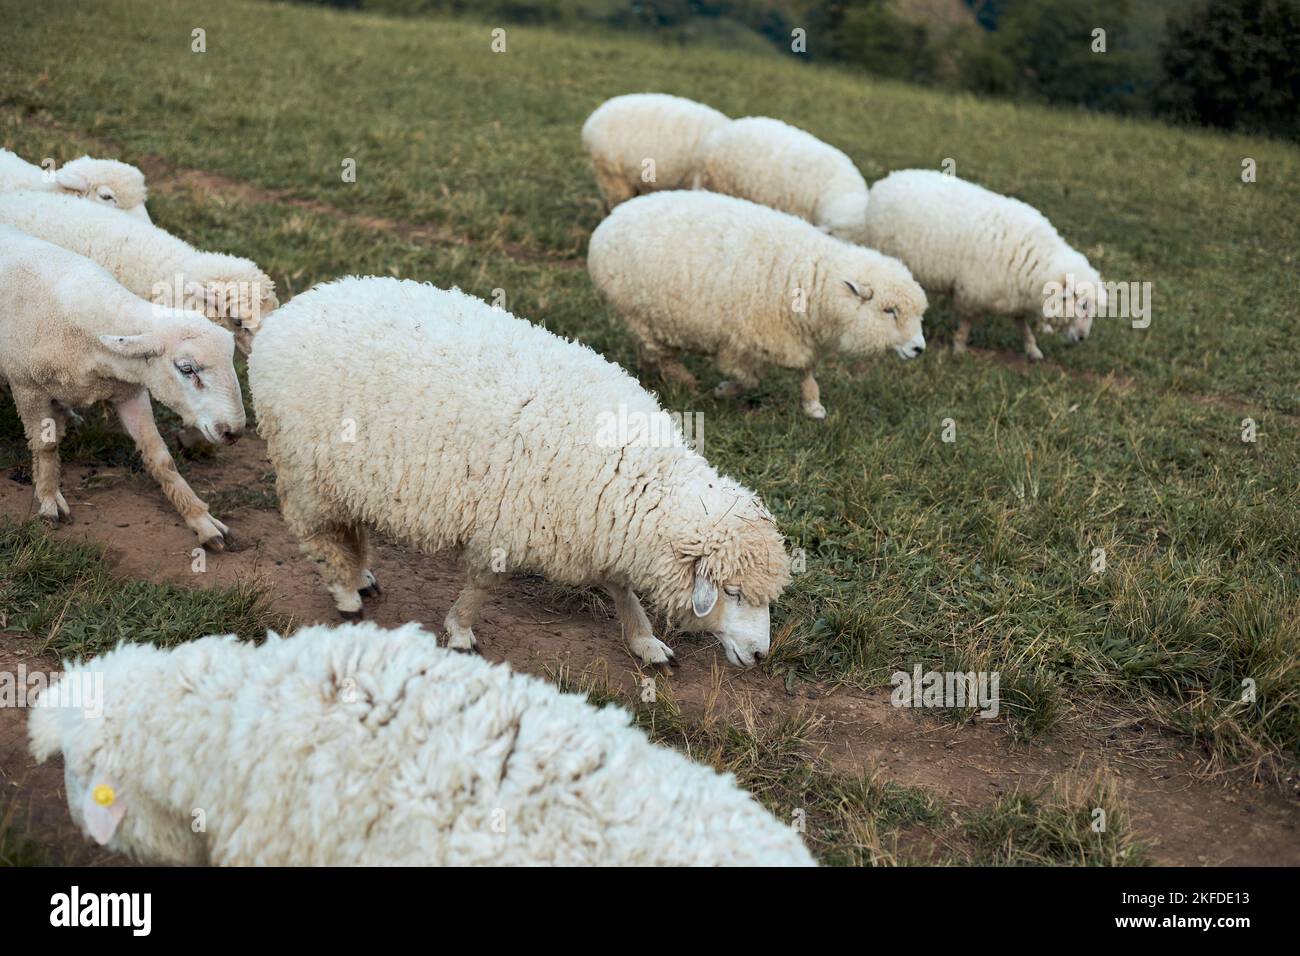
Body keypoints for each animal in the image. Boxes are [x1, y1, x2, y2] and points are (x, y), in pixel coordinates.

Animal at [0, 225, 243, 550]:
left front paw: (200, 518)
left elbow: (162, 459)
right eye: (187, 369)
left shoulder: (131, 392)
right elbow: (46, 445)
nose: (233, 432)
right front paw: (49, 498)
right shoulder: (26, 386)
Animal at [249, 277, 791, 668]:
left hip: (345, 476)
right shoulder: (509, 526)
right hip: (305, 472)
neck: (635, 475)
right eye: (733, 593)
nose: (761, 655)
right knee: (317, 534)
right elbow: (483, 586)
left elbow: (622, 587)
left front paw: (645, 642)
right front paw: (460, 631)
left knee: (351, 526)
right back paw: (345, 593)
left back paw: (360, 575)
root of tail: (290, 311)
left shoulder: (600, 527)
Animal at [587, 191, 928, 419]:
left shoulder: (799, 340)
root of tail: (610, 221)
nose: (919, 349)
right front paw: (724, 390)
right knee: (663, 354)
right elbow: (749, 378)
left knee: (650, 349)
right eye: (889, 310)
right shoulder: (741, 343)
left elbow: (806, 371)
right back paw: (686, 381)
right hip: (638, 313)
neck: (814, 279)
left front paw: (813, 405)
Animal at [861, 169, 1105, 360]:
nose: (1082, 338)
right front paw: (959, 348)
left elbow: (1022, 324)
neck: (1036, 261)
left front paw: (1033, 349)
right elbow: (967, 322)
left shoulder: (1014, 296)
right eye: (1083, 305)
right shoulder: (972, 292)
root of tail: (888, 179)